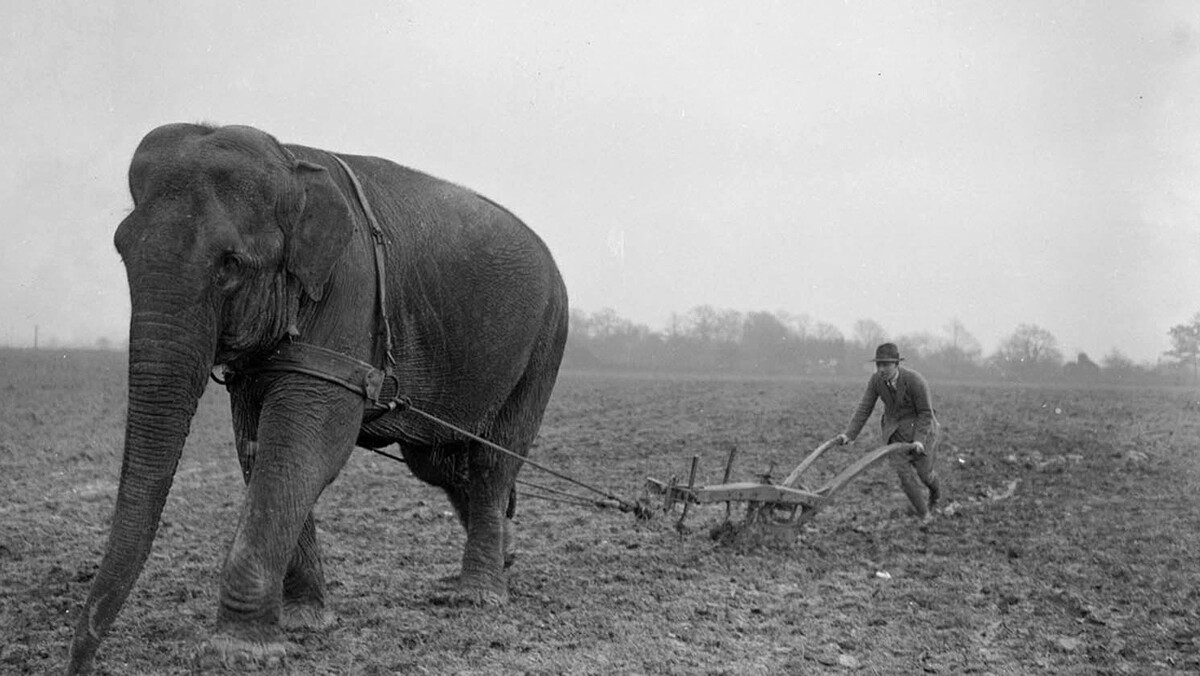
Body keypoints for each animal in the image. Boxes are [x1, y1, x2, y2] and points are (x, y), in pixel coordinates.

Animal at [64, 124, 566, 672]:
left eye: (229, 264)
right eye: (121, 249)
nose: (79, 665)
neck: (289, 160)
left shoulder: (347, 290)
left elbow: (303, 443)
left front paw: (237, 653)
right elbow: (256, 447)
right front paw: (305, 623)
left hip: (547, 338)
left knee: (494, 461)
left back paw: (477, 597)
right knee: (441, 462)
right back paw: (507, 553)